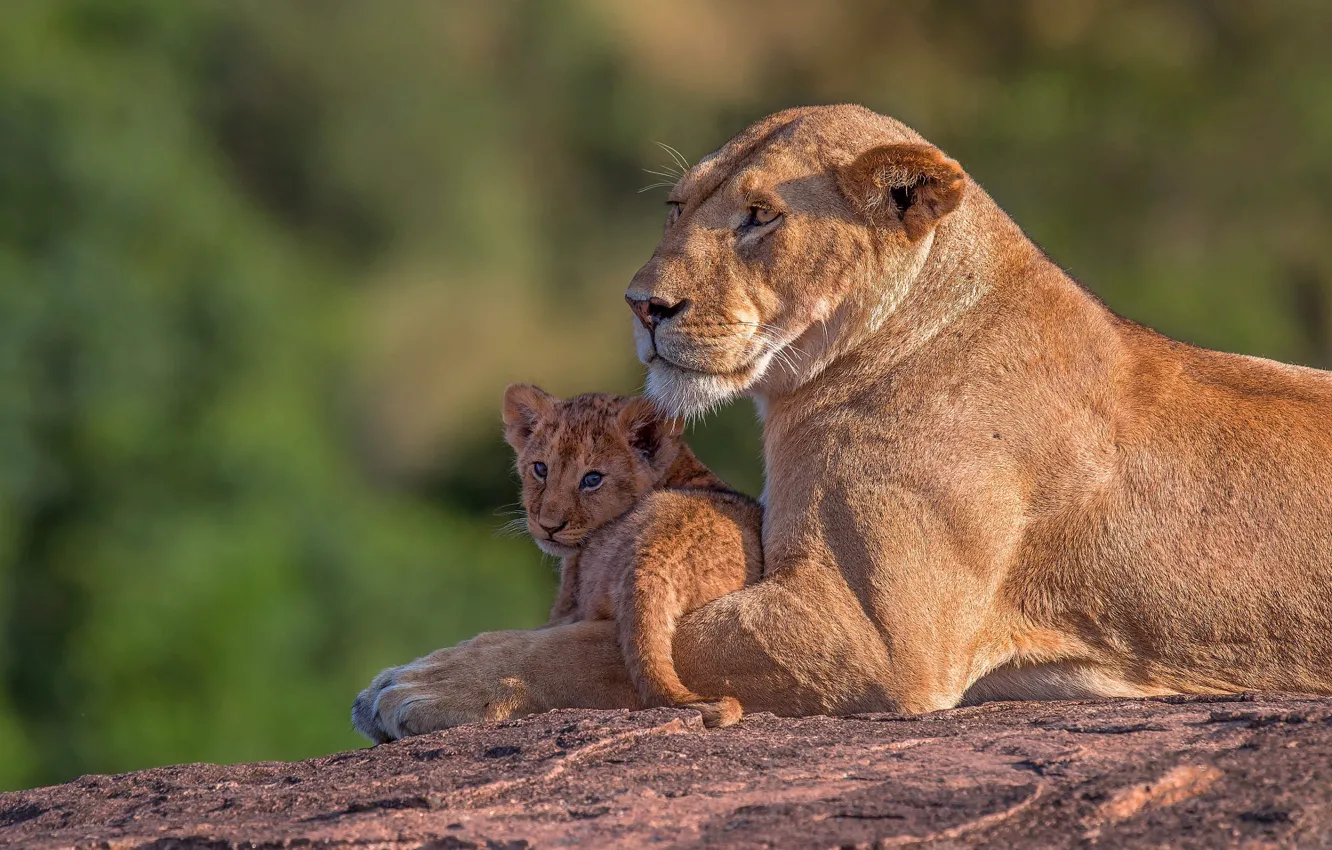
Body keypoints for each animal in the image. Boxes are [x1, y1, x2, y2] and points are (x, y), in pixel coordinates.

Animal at [354, 104, 1332, 740]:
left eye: (758, 217)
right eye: (677, 206)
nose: (643, 305)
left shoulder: (876, 640)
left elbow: (622, 646)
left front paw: (420, 684)